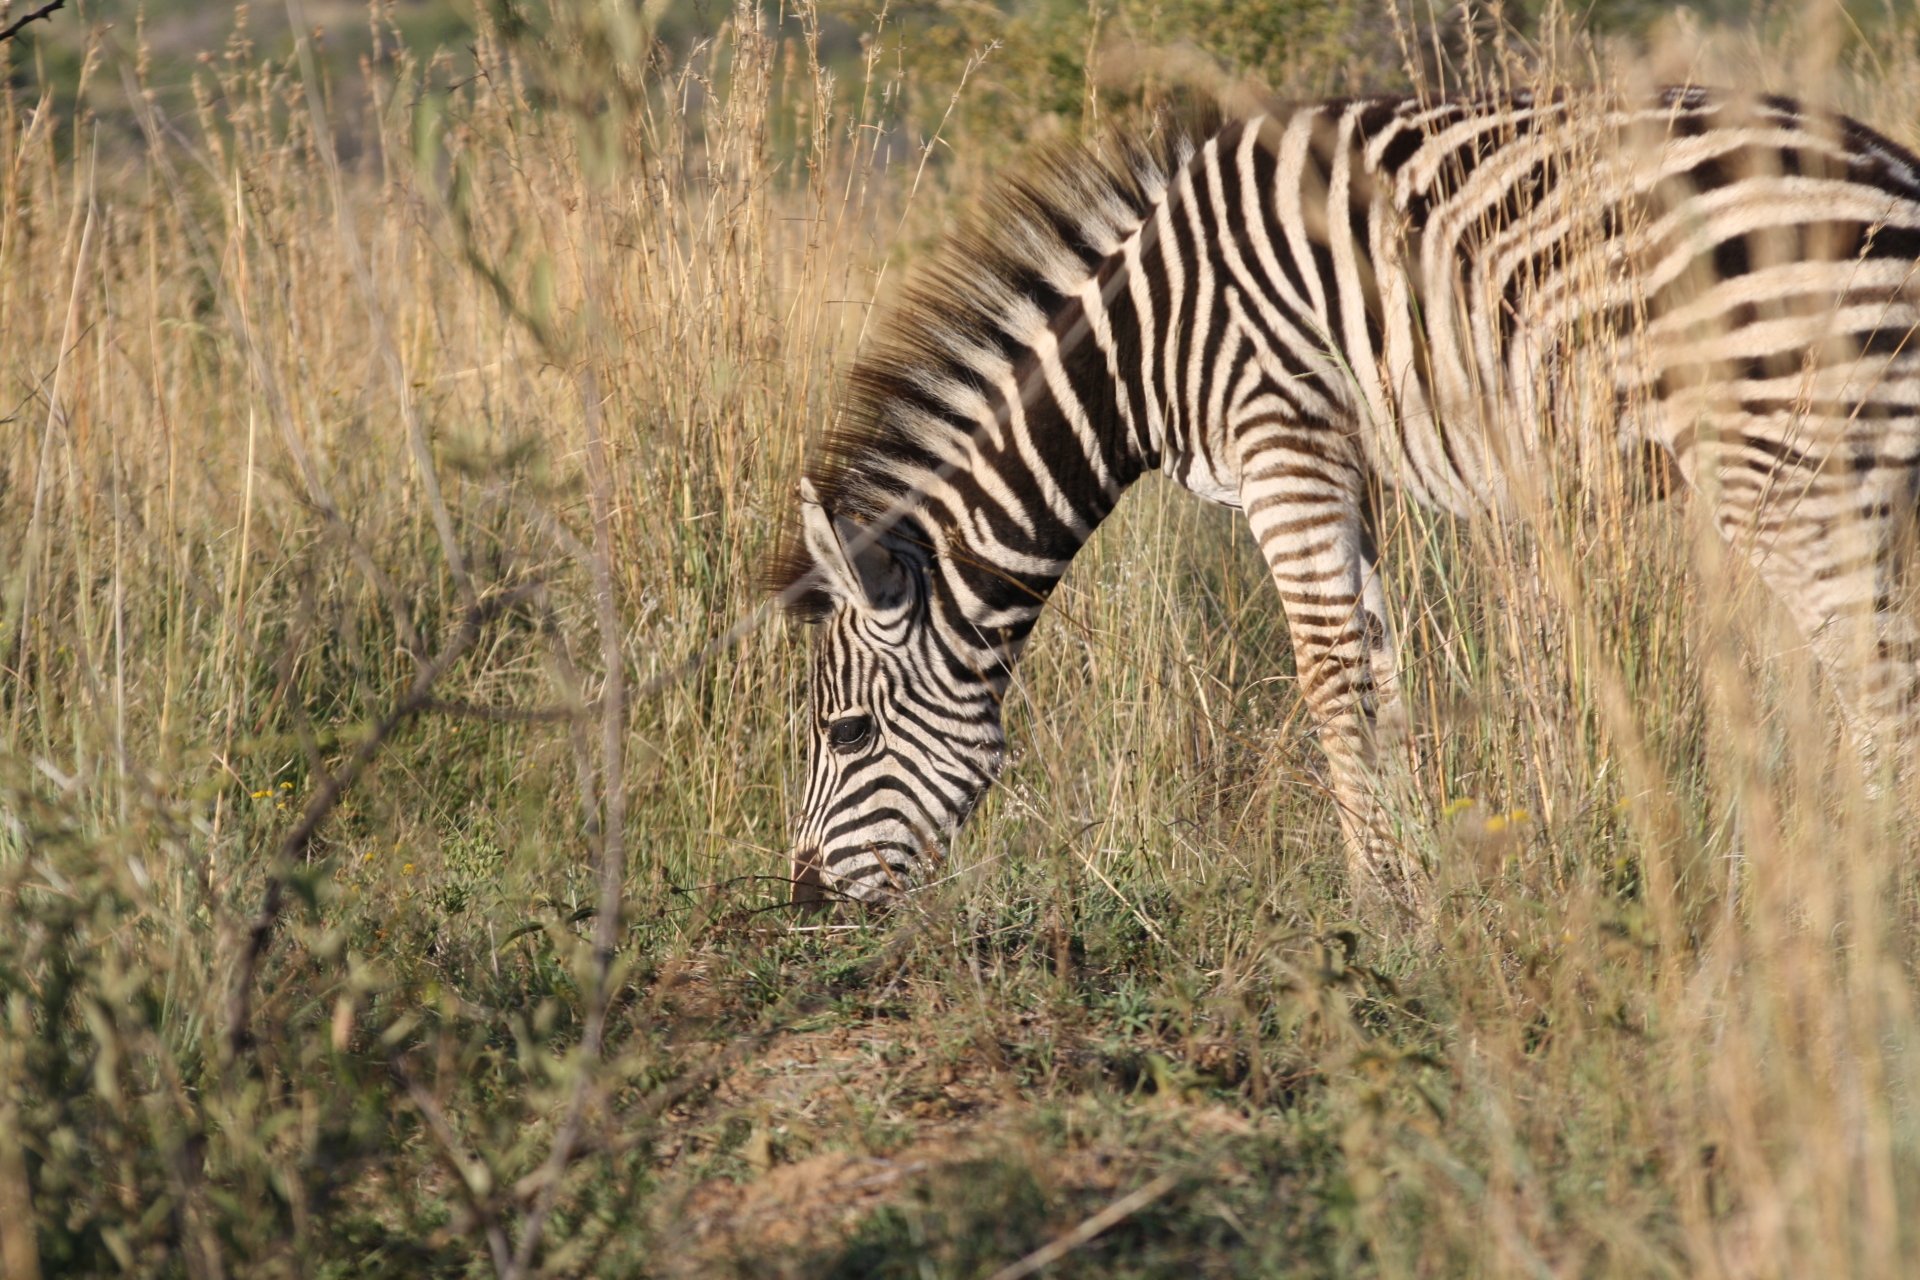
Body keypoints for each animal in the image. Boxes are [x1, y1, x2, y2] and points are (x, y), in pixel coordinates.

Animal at [768, 85, 1920, 921]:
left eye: (848, 732)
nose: (805, 899)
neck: (1143, 344)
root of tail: (1895, 170)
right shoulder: (1341, 461)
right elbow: (1377, 664)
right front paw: (1413, 882)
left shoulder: (1282, 436)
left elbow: (1324, 674)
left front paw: (1370, 897)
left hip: (1786, 460)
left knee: (1875, 674)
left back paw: (1872, 908)